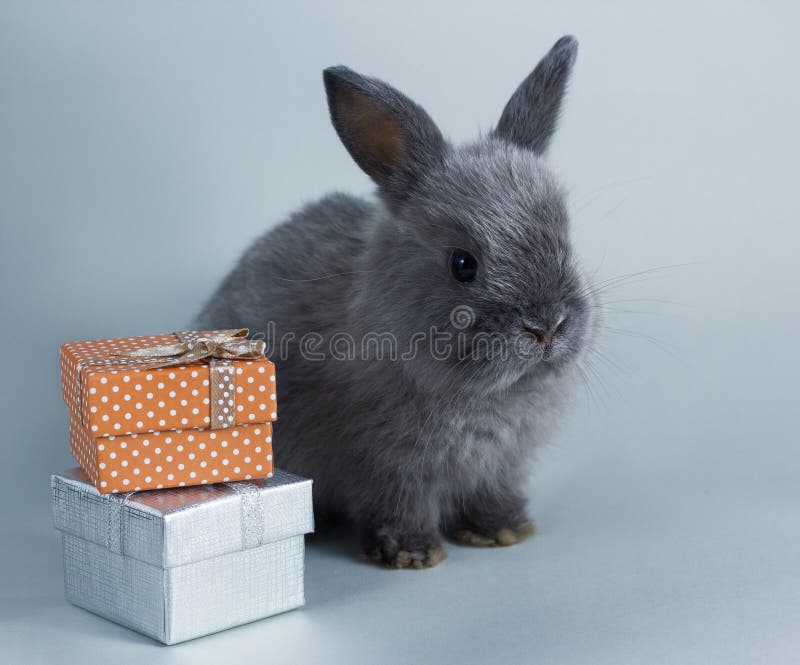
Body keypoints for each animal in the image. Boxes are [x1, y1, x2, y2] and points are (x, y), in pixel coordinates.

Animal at [195, 35, 597, 568]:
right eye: (462, 263)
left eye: (567, 243)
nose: (547, 326)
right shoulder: (386, 463)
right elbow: (398, 504)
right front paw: (412, 555)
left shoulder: (501, 463)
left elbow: (491, 495)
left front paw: (504, 532)